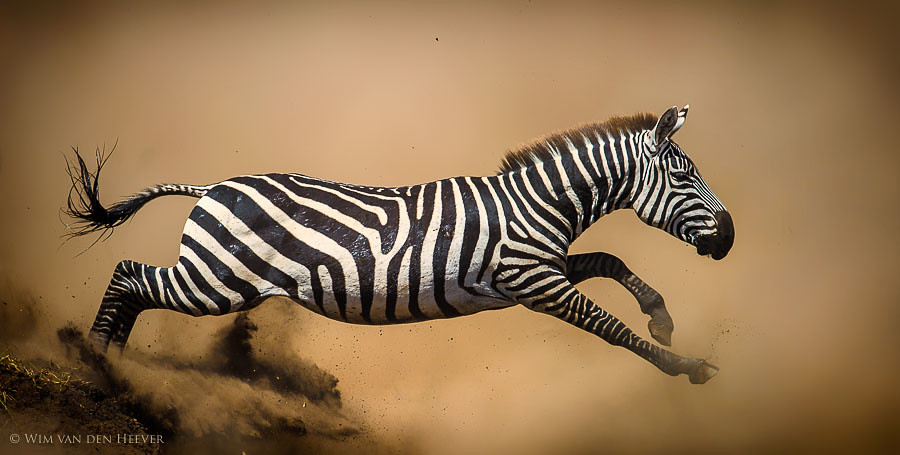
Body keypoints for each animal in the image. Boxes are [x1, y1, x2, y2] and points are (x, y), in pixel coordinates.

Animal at [64, 105, 733, 384]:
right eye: (683, 177)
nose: (728, 238)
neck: (534, 204)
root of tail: (214, 186)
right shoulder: (536, 281)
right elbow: (607, 326)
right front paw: (688, 366)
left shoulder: (535, 271)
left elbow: (609, 260)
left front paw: (661, 316)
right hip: (215, 280)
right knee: (128, 273)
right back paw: (95, 357)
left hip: (216, 280)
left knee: (135, 284)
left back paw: (112, 363)